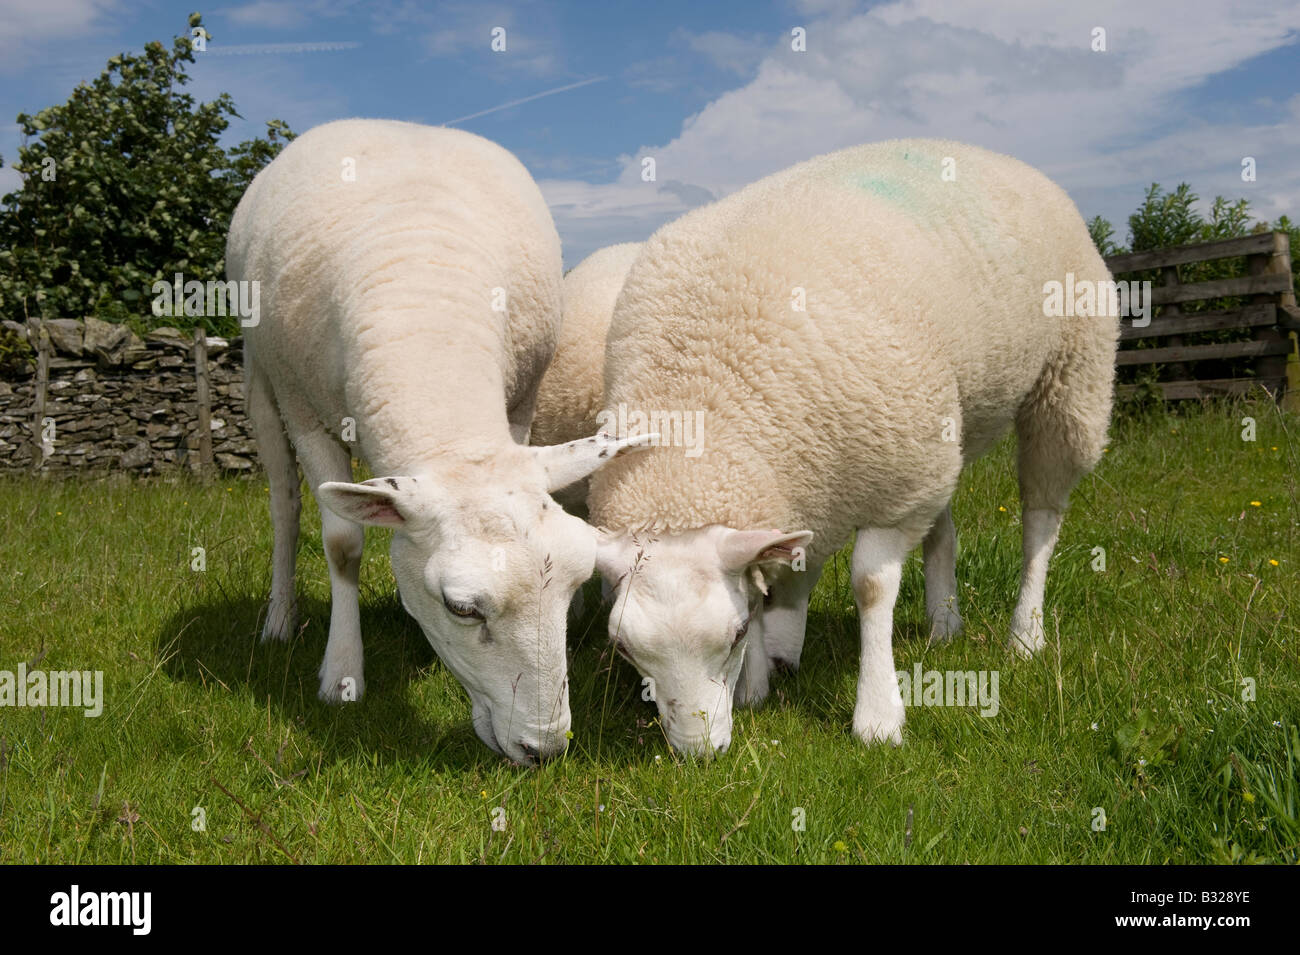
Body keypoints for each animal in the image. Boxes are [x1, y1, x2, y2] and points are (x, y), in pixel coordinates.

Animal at [589, 139, 1119, 755]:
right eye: (624, 650)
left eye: (735, 634)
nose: (700, 754)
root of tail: (1005, 160)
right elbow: (773, 578)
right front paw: (759, 683)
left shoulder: (892, 484)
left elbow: (870, 587)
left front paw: (878, 716)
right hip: (939, 432)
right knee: (943, 528)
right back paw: (944, 623)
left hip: (1068, 381)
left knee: (1041, 518)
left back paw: (1026, 633)